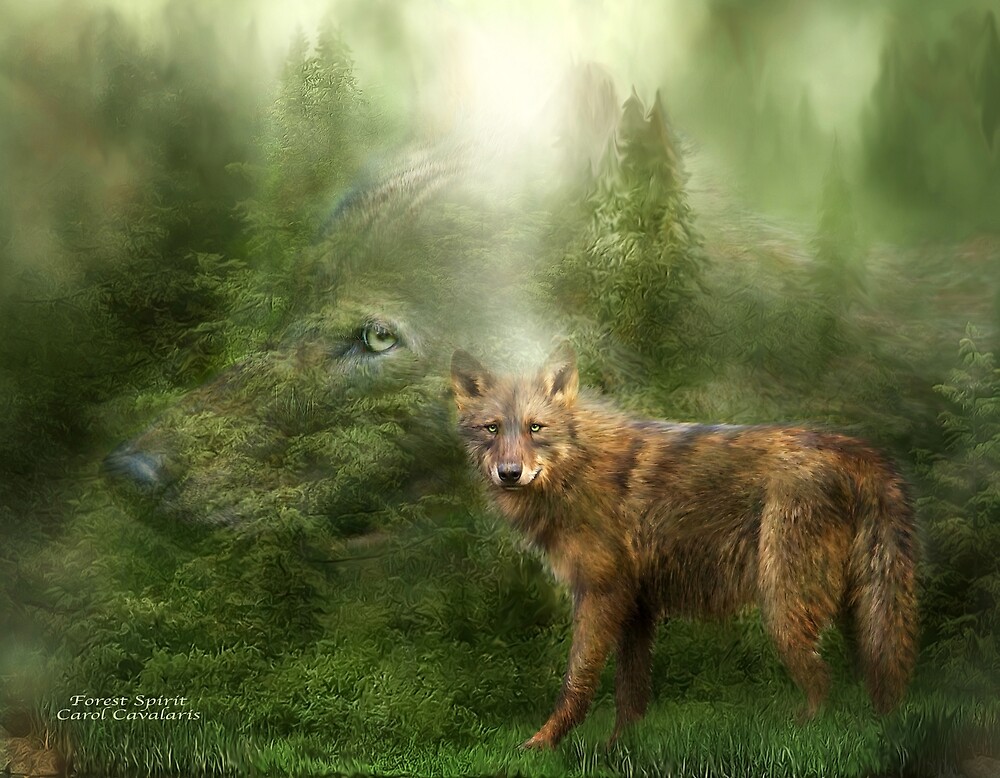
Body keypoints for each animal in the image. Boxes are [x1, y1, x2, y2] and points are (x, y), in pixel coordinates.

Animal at [451, 342, 918, 749]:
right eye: (492, 428)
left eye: (536, 428)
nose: (509, 473)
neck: (576, 469)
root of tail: (856, 450)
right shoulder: (636, 606)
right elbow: (630, 694)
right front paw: (620, 748)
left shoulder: (600, 595)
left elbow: (576, 683)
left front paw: (541, 745)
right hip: (854, 612)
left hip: (784, 612)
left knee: (825, 684)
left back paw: (805, 730)